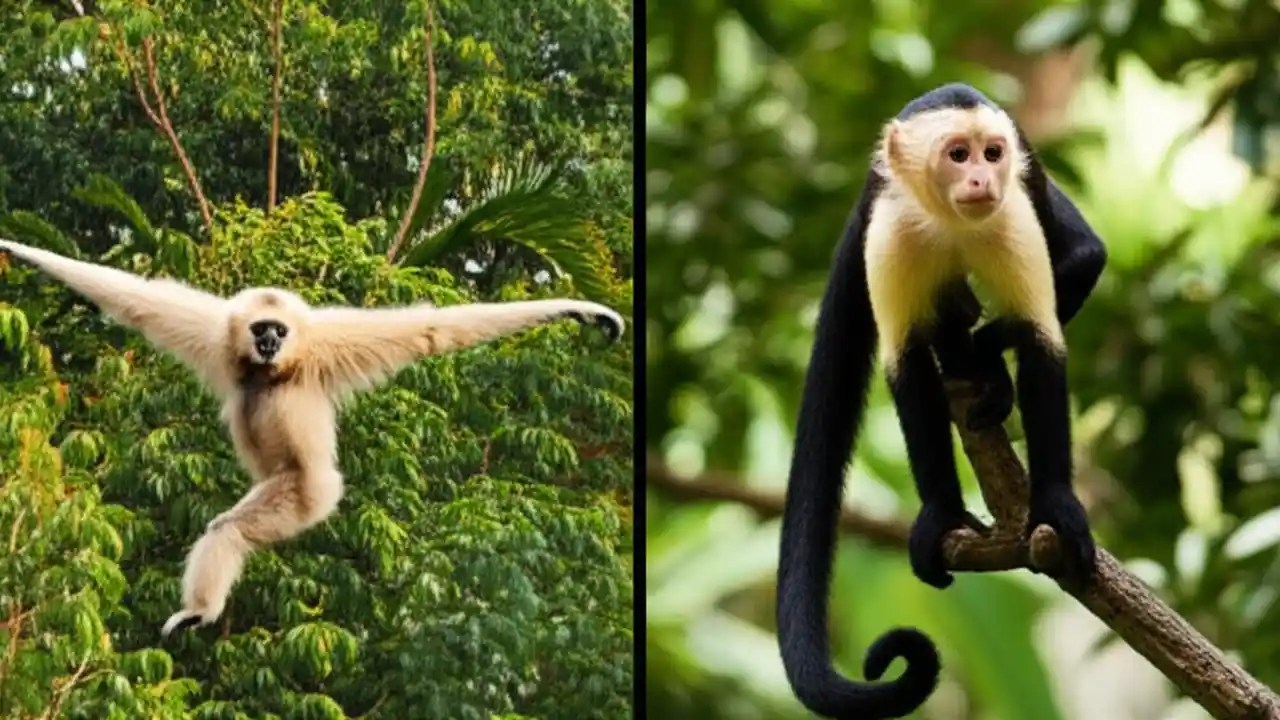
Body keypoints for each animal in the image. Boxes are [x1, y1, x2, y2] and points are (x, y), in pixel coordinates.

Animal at [0, 239, 625, 637]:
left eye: (279, 331)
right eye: (261, 329)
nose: (270, 341)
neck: (272, 372)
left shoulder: (325, 346)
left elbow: (432, 329)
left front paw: (578, 310)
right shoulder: (219, 336)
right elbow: (134, 298)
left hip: (304, 494)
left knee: (230, 530)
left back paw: (199, 611)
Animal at [776, 84, 1107, 719]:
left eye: (992, 153)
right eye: (958, 154)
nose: (982, 178)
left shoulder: (1014, 218)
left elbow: (1045, 331)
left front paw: (1054, 502)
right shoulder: (890, 230)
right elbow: (906, 367)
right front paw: (943, 514)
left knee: (1081, 254)